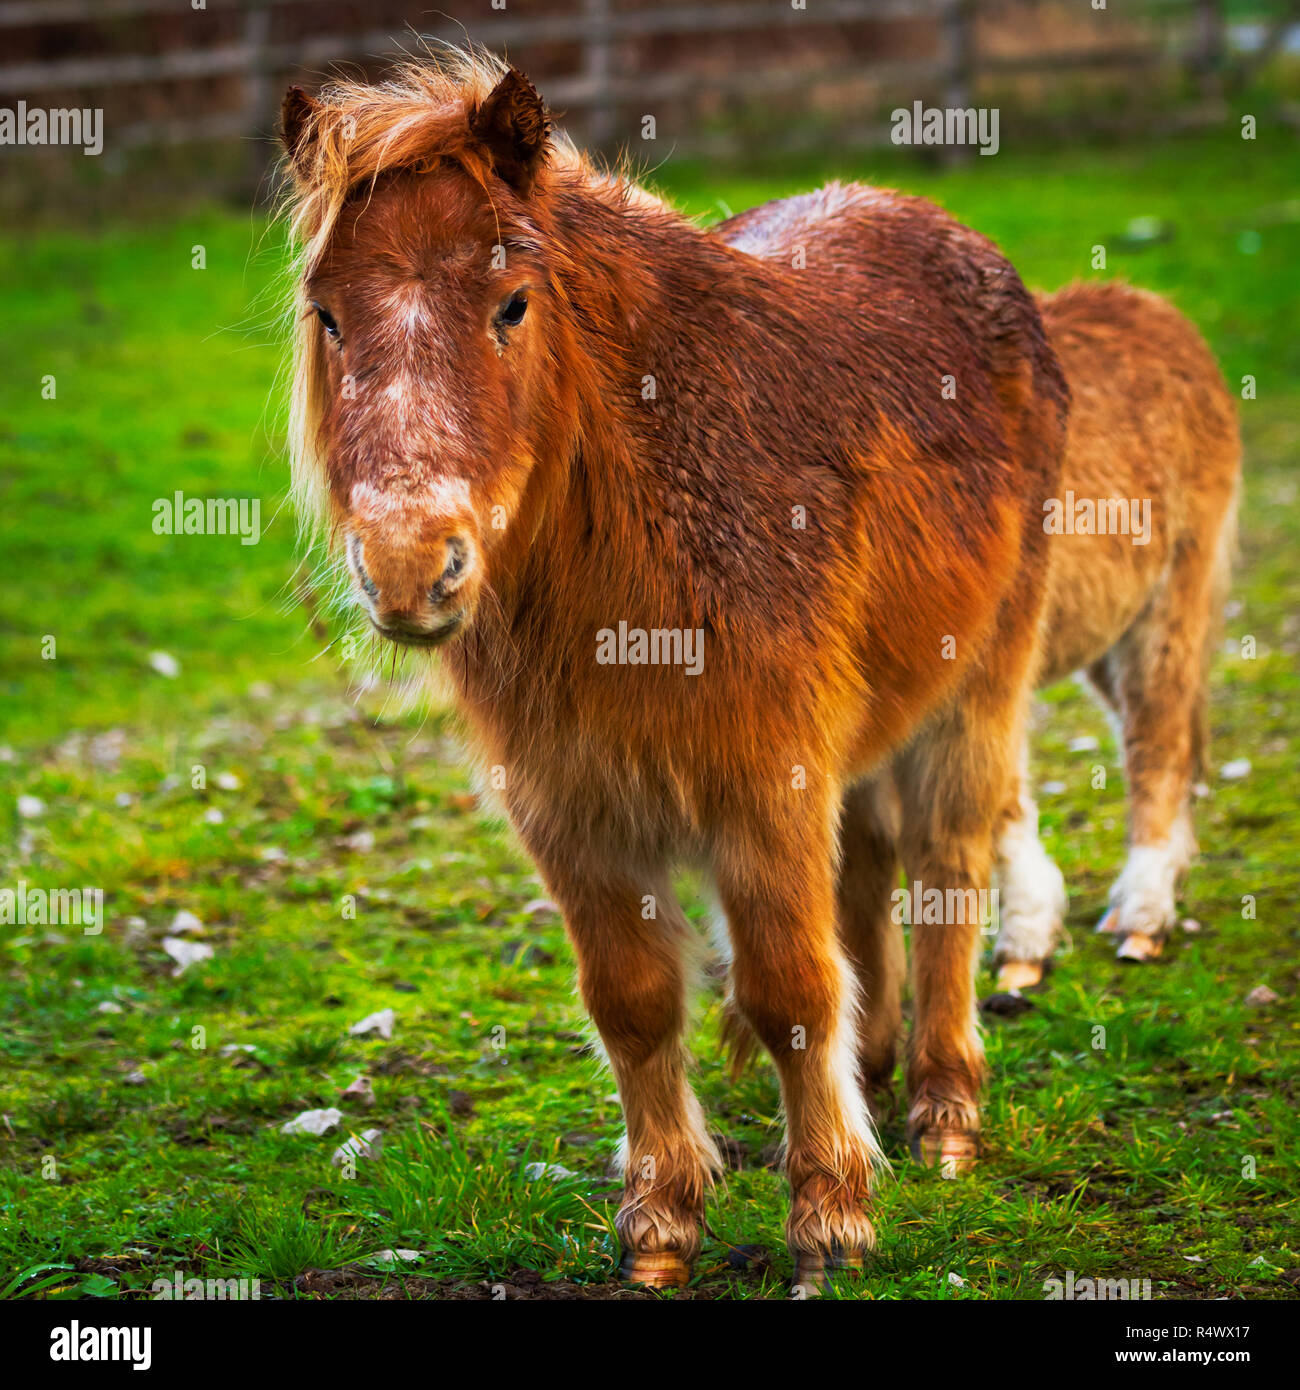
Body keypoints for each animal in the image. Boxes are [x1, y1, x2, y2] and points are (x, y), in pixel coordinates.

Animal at [278, 51, 1237, 1288]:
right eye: (329, 314)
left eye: (510, 304)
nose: (409, 567)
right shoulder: (573, 808)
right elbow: (635, 1003)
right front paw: (661, 1222)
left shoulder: (762, 779)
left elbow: (787, 988)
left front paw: (830, 1216)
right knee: (871, 872)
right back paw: (874, 1067)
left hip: (985, 685)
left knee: (951, 865)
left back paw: (944, 1108)